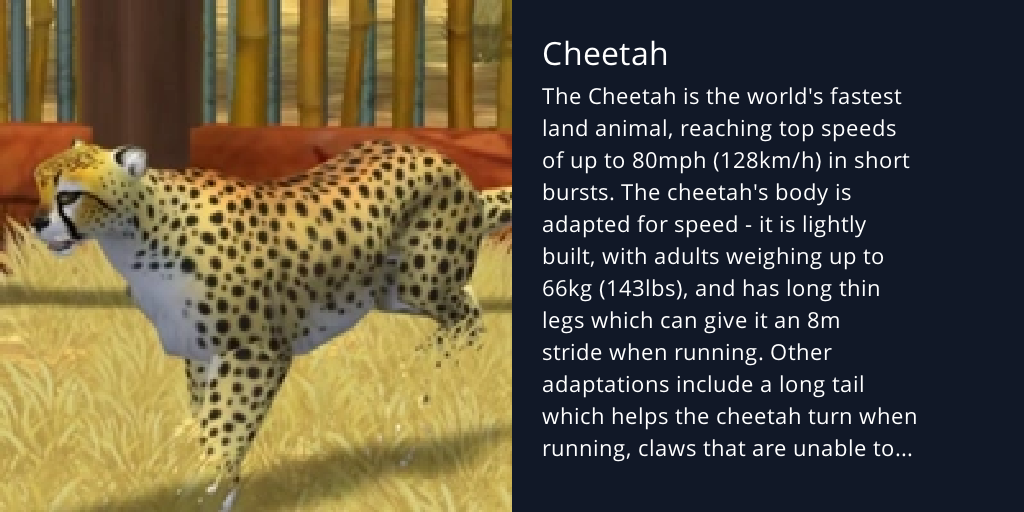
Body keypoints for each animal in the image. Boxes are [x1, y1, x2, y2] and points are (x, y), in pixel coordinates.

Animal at [29, 139, 512, 511]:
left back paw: (425, 372)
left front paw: (204, 484)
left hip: (420, 280)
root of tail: (445, 162)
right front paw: (208, 476)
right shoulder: (201, 353)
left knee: (466, 317)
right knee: (469, 304)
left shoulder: (254, 354)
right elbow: (207, 414)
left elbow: (224, 423)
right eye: (39, 185)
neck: (137, 233)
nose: (35, 222)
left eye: (69, 195)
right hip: (388, 291)